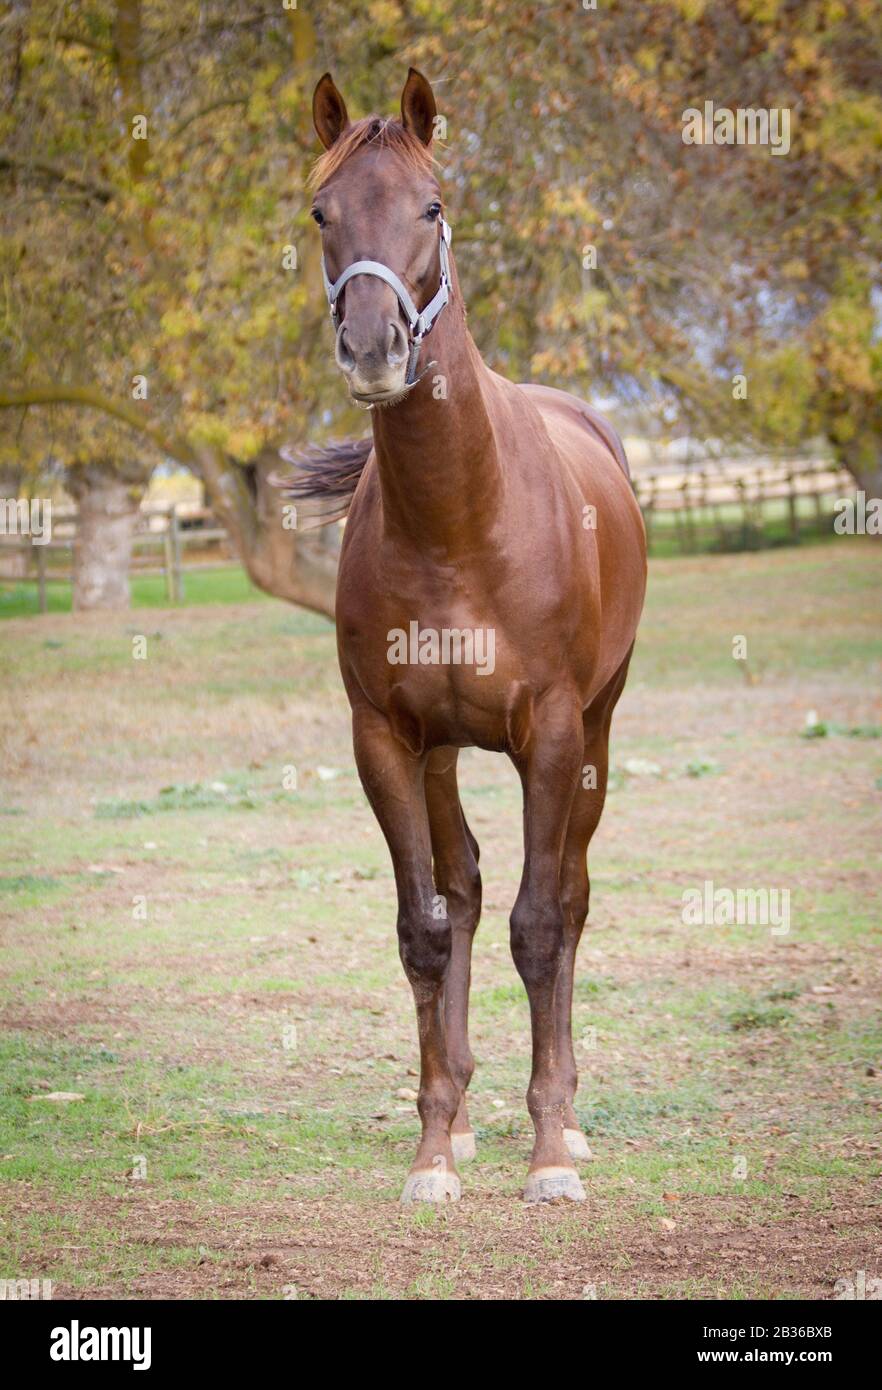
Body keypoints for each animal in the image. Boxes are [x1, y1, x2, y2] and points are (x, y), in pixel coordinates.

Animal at [279, 69, 647, 1203]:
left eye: (431, 206)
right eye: (323, 212)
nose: (373, 348)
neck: (458, 521)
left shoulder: (556, 735)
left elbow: (542, 924)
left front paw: (549, 1154)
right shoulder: (386, 741)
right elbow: (425, 931)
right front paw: (435, 1152)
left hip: (599, 735)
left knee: (568, 896)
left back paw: (567, 1119)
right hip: (441, 755)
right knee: (467, 890)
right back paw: (472, 1114)